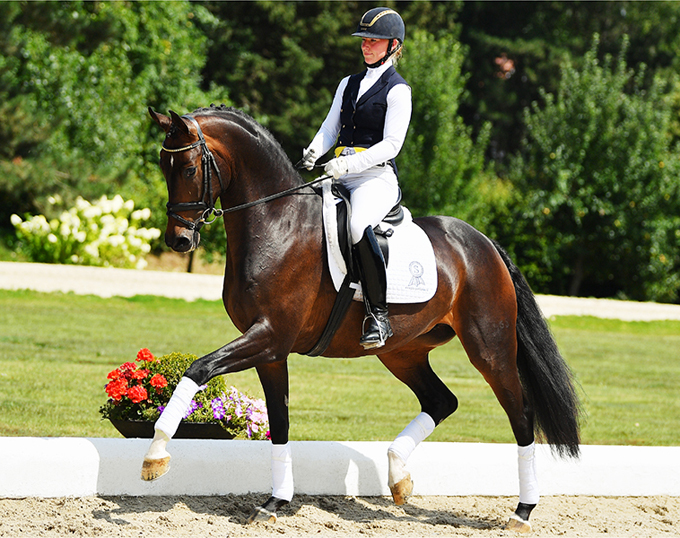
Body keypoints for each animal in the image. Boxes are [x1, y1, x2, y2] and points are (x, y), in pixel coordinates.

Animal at [141, 104, 580, 533]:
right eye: (163, 166)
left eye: (189, 169)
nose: (178, 240)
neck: (277, 223)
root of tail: (483, 242)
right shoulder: (271, 351)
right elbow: (279, 423)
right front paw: (274, 503)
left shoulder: (268, 337)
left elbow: (199, 369)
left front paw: (155, 456)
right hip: (402, 352)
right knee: (441, 400)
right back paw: (399, 478)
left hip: (490, 349)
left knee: (520, 414)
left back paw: (522, 511)